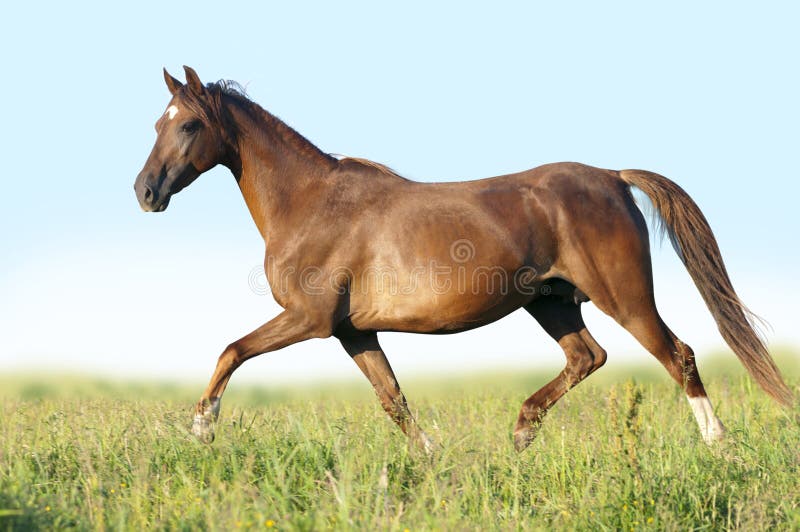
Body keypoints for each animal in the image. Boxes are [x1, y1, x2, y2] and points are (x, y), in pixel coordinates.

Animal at [134, 66, 792, 453]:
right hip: (551, 302)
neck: (312, 202)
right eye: (158, 124)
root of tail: (611, 176)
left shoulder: (310, 320)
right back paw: (522, 433)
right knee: (588, 357)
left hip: (624, 297)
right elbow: (393, 401)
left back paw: (718, 445)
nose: (145, 192)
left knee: (678, 355)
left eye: (189, 125)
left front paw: (201, 428)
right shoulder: (354, 332)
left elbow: (231, 350)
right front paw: (429, 462)